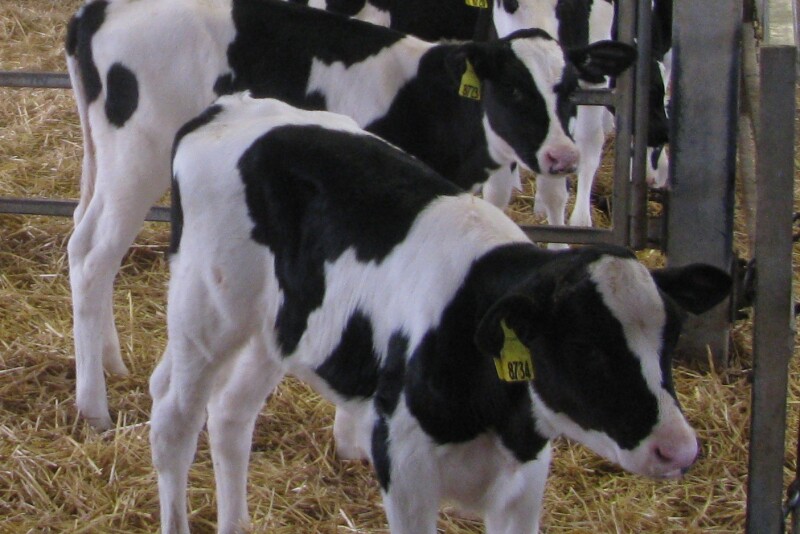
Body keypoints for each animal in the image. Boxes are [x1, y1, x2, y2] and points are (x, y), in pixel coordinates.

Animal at [65, 0, 636, 429]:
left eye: (567, 89)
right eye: (513, 88)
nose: (561, 156)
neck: (431, 98)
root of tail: (100, 11)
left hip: (108, 160)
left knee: (82, 242)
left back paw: (111, 362)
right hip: (139, 156)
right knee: (96, 260)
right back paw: (94, 406)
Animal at [150, 93, 732, 533]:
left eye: (670, 340)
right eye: (586, 348)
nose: (679, 450)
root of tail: (228, 108)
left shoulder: (524, 485)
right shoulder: (404, 469)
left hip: (282, 328)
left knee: (231, 412)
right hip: (206, 311)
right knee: (174, 420)